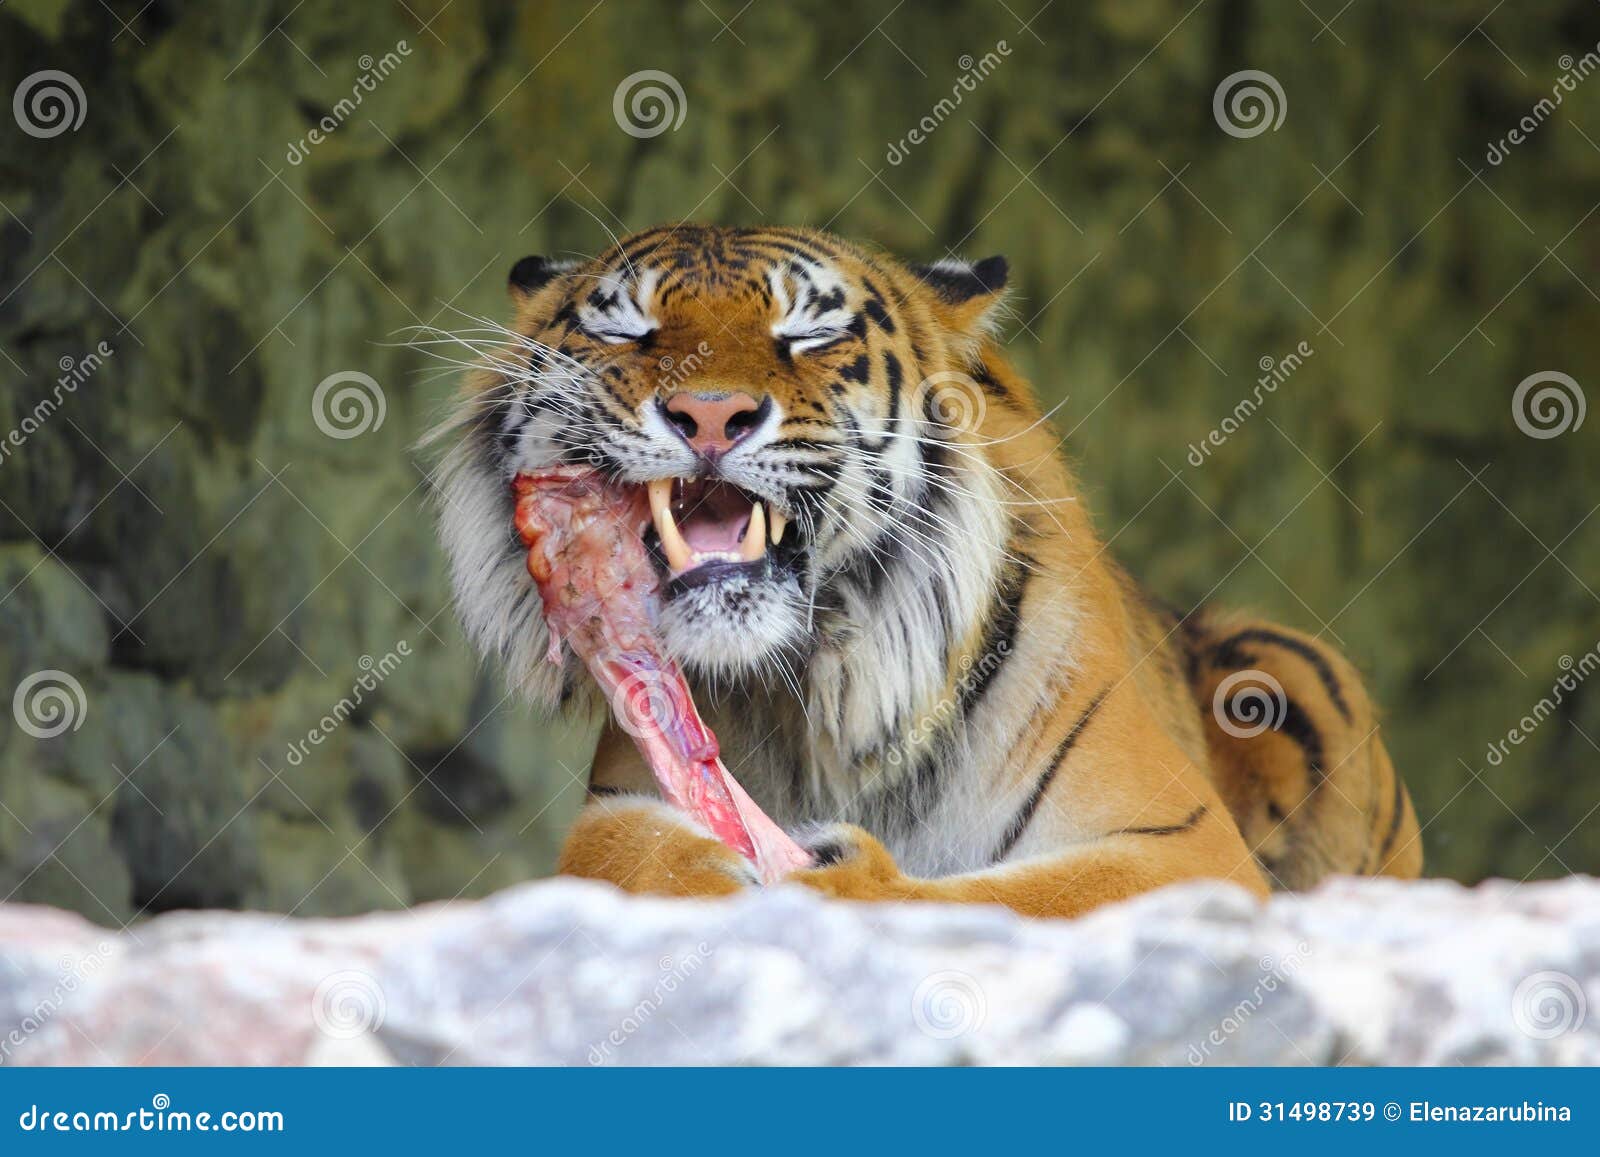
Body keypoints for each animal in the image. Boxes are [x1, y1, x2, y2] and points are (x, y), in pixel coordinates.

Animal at [432, 223, 1422, 919]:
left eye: (807, 335)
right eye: (631, 331)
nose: (709, 414)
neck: (806, 694)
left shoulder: (1182, 844)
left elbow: (1021, 897)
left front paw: (837, 876)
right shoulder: (625, 796)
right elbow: (620, 855)